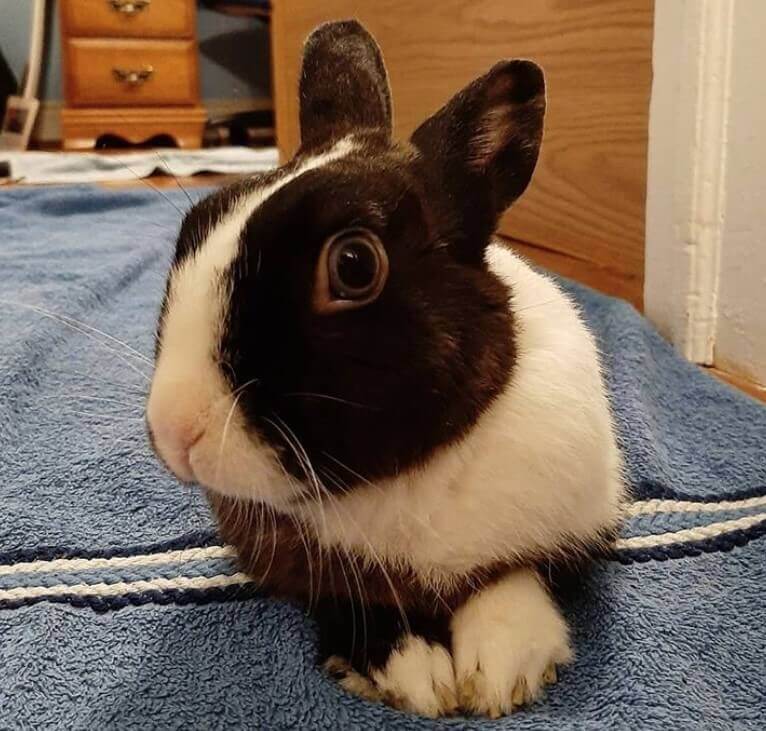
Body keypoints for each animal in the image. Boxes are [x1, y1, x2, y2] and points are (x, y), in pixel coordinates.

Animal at [146, 20, 624, 718]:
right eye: (194, 227)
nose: (177, 432)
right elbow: (351, 600)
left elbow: (515, 576)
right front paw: (413, 674)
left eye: (354, 266)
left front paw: (505, 668)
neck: (399, 483)